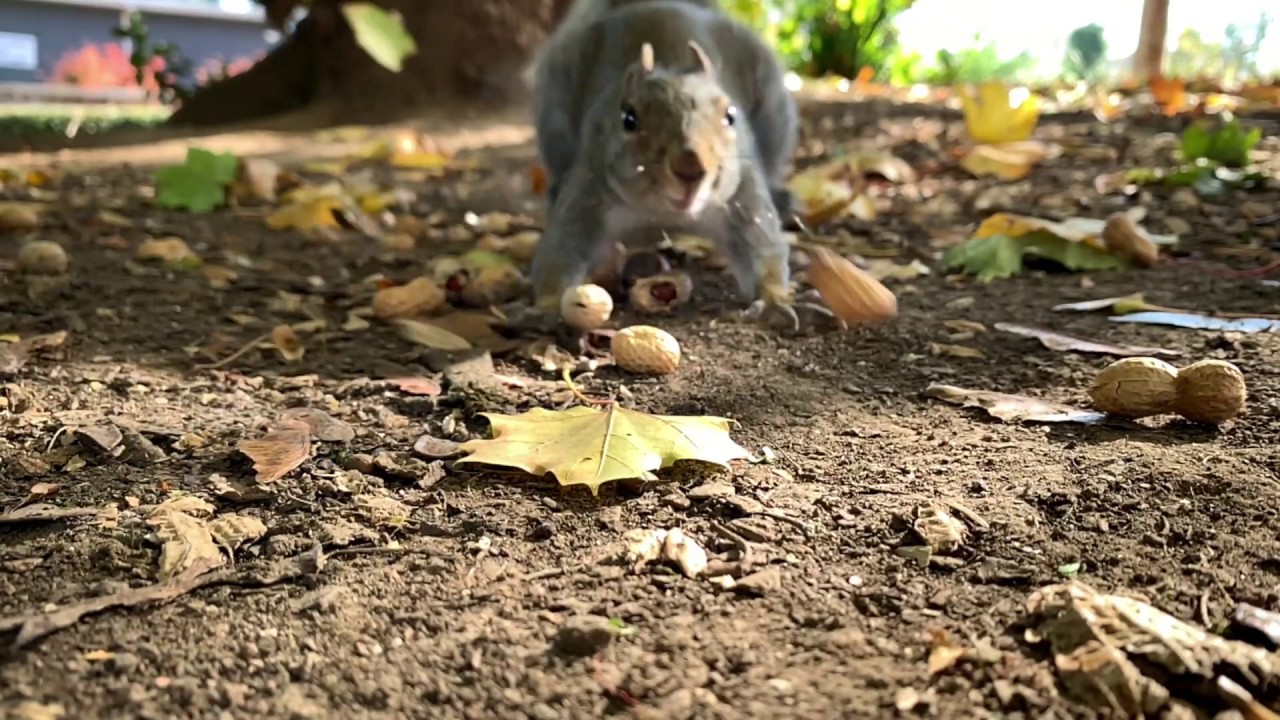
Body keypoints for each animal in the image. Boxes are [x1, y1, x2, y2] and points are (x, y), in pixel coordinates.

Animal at [526, 0, 807, 329]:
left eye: (730, 115)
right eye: (628, 118)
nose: (691, 169)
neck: (663, 213)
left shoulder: (742, 196)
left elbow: (763, 248)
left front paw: (773, 301)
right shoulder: (588, 190)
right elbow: (560, 250)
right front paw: (548, 307)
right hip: (554, 109)